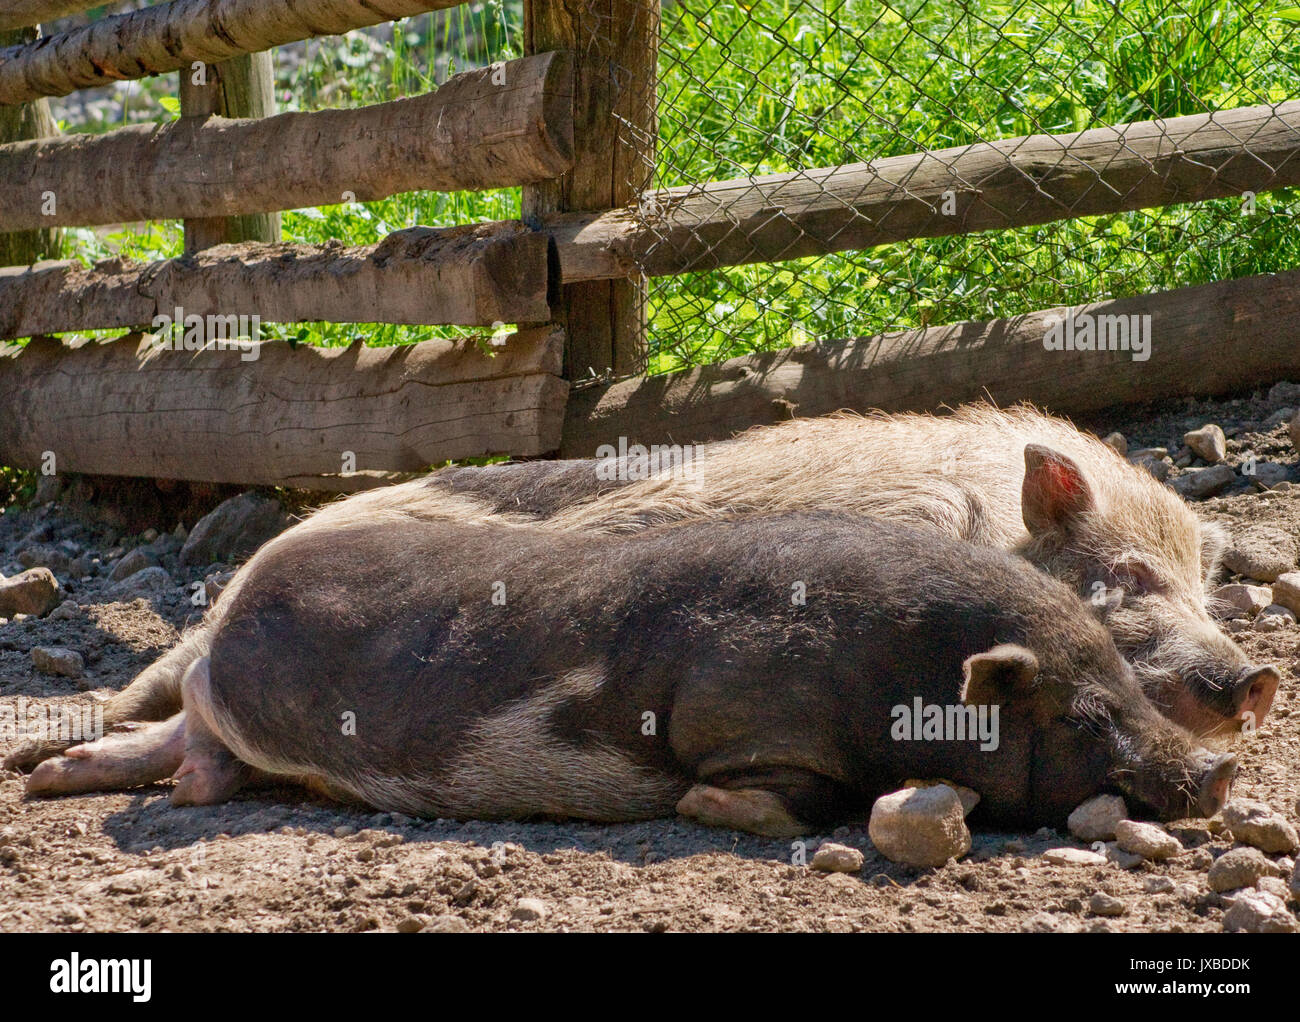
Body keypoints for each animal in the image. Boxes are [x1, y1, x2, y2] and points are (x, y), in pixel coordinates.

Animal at [24, 511, 1237, 834]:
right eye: (1085, 711)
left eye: (1129, 684)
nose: (1218, 774)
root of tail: (231, 602)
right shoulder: (749, 721)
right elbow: (775, 794)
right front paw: (705, 808)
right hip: (233, 696)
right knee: (194, 740)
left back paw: (45, 780)